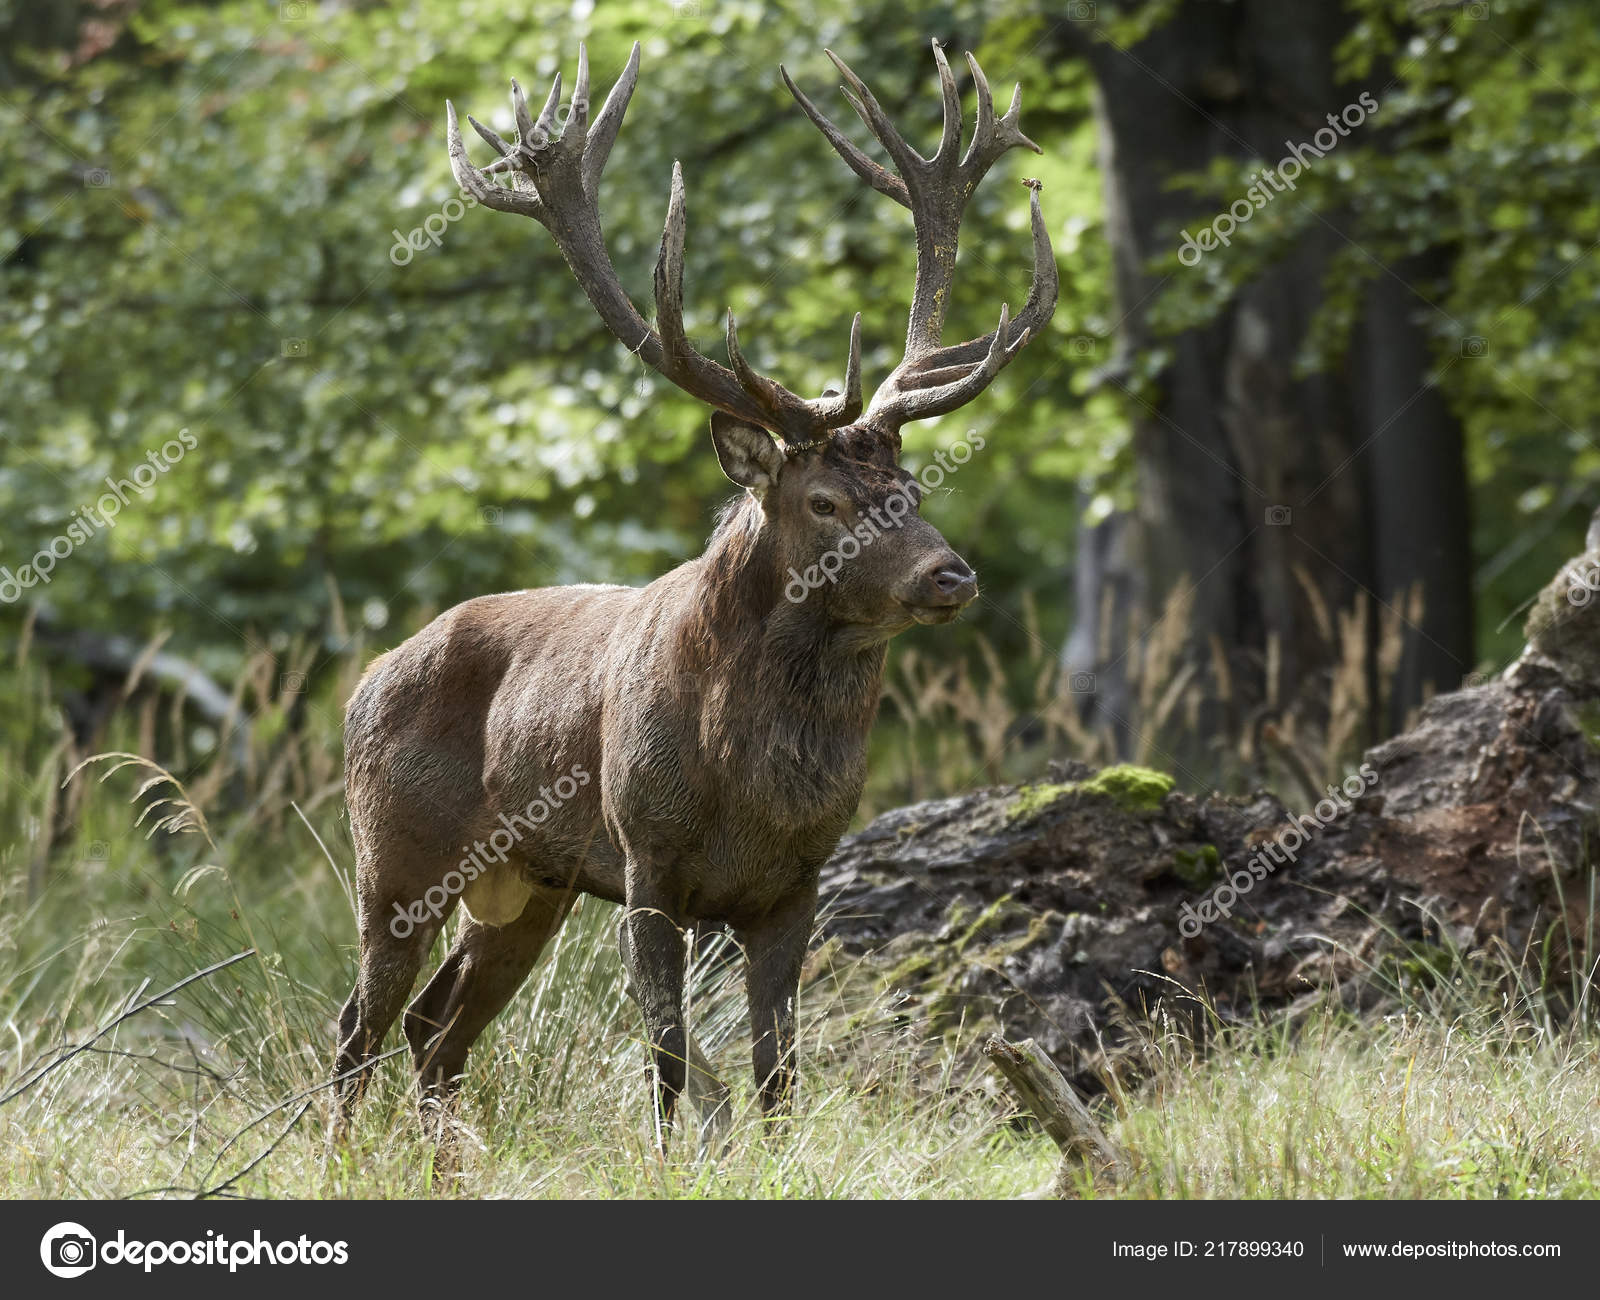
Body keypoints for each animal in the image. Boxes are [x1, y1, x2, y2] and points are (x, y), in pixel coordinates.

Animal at [334, 38, 1056, 1152]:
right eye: (824, 499)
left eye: (914, 489)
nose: (950, 573)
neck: (749, 790)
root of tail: (364, 678)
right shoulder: (646, 855)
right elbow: (669, 1054)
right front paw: (672, 1159)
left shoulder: (799, 880)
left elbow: (778, 1069)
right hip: (394, 856)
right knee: (358, 1027)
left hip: (527, 885)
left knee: (435, 1030)